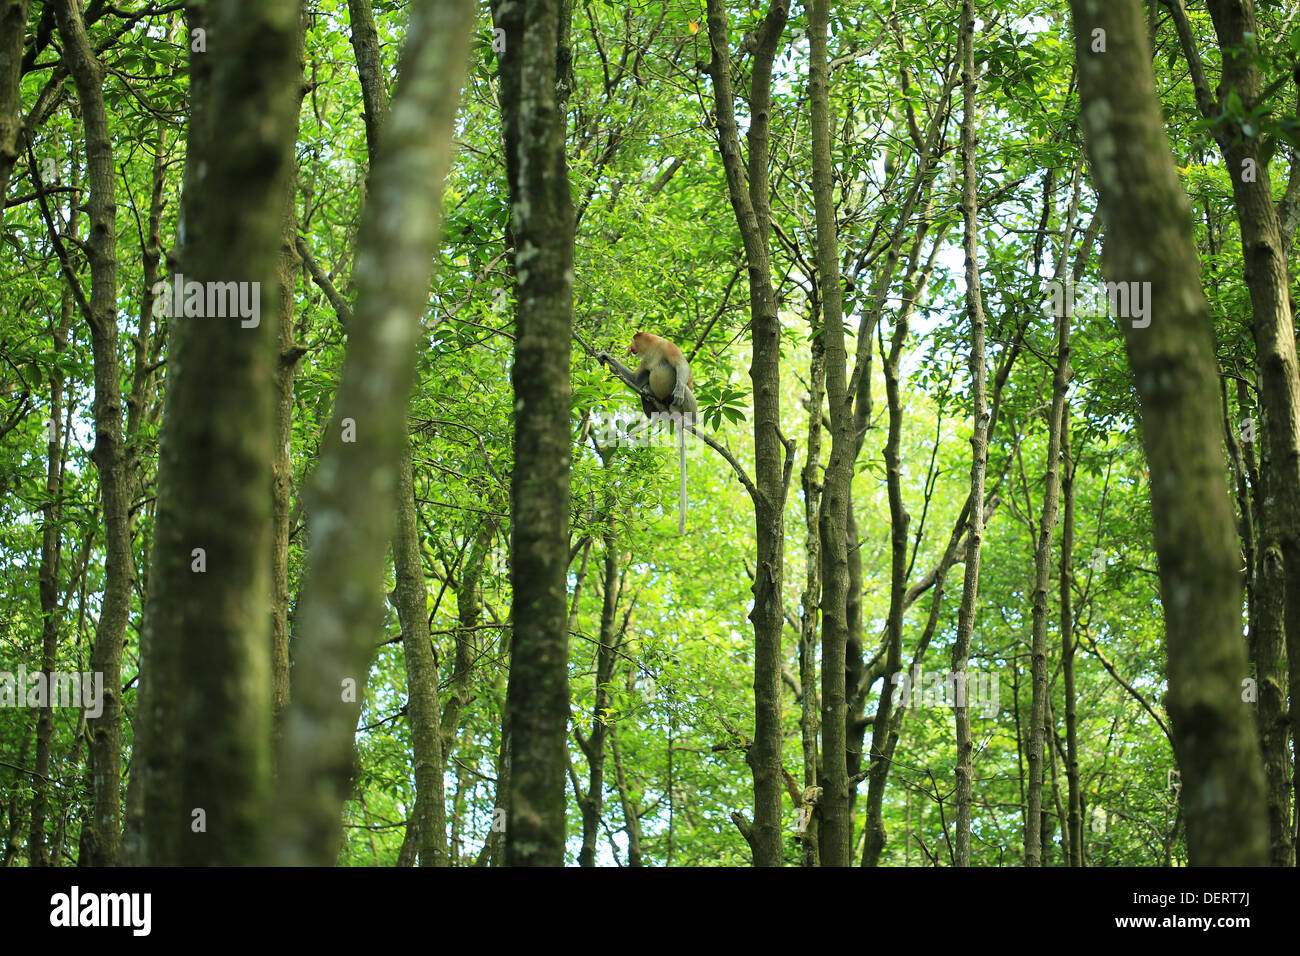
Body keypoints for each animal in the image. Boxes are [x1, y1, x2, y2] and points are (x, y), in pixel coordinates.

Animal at [597, 331, 698, 533]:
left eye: (634, 340)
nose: (630, 348)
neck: (653, 348)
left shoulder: (668, 347)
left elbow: (681, 365)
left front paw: (679, 391)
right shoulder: (645, 361)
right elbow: (636, 379)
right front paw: (605, 356)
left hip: (688, 405)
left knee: (683, 389)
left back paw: (685, 410)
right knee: (645, 389)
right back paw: (648, 394)